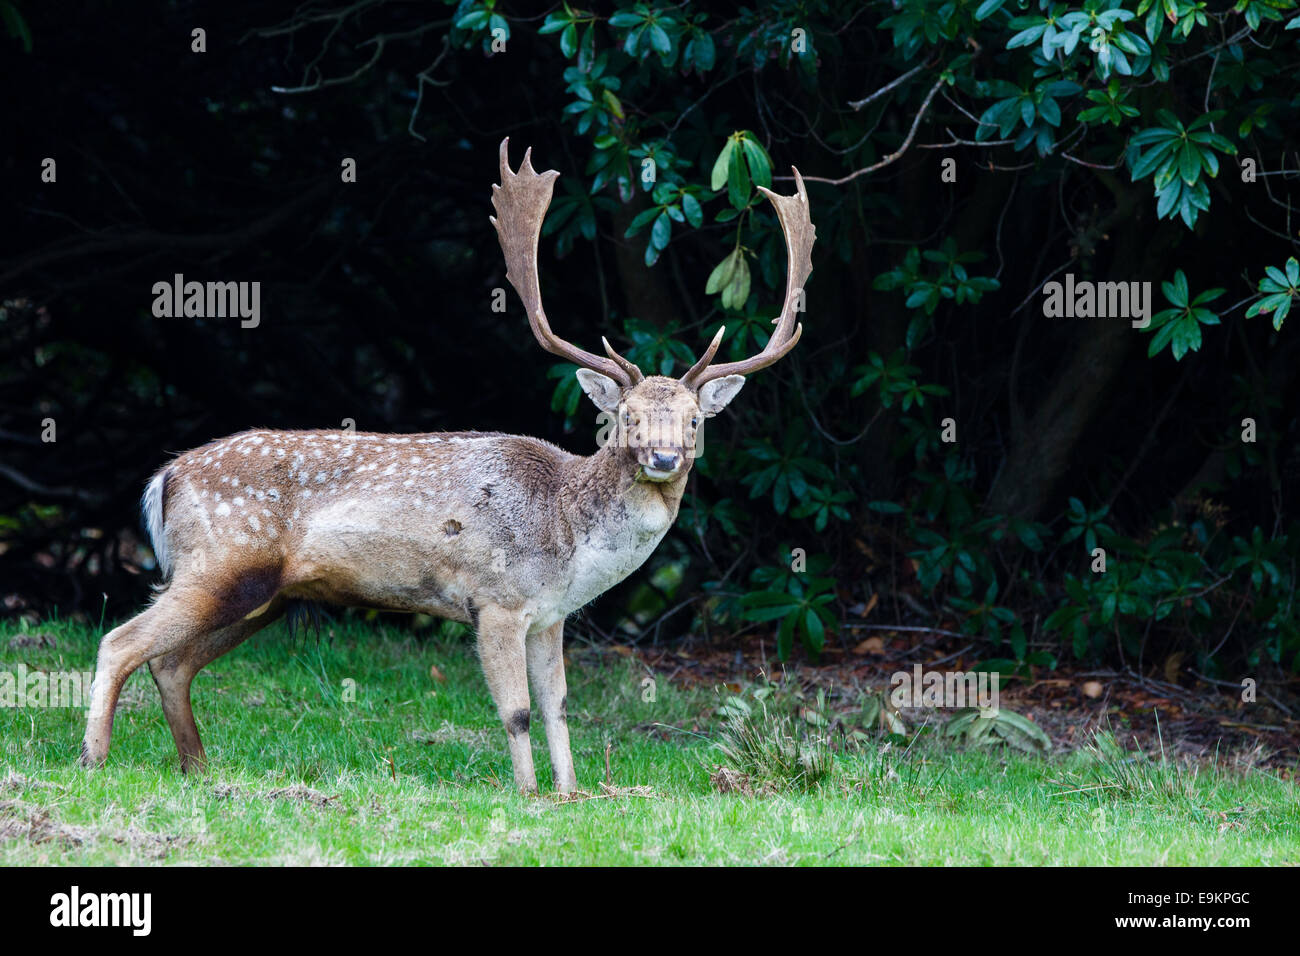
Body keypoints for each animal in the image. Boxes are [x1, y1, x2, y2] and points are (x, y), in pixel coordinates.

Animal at [80, 138, 815, 794]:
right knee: (120, 640)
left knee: (172, 664)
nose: (663, 456)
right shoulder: (496, 601)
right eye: (626, 417)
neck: (569, 539)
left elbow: (560, 708)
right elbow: (516, 711)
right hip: (217, 561)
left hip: (263, 591)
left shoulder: (551, 617)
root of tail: (164, 478)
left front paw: (572, 792)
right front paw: (527, 793)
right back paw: (95, 760)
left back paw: (198, 770)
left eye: (694, 420)